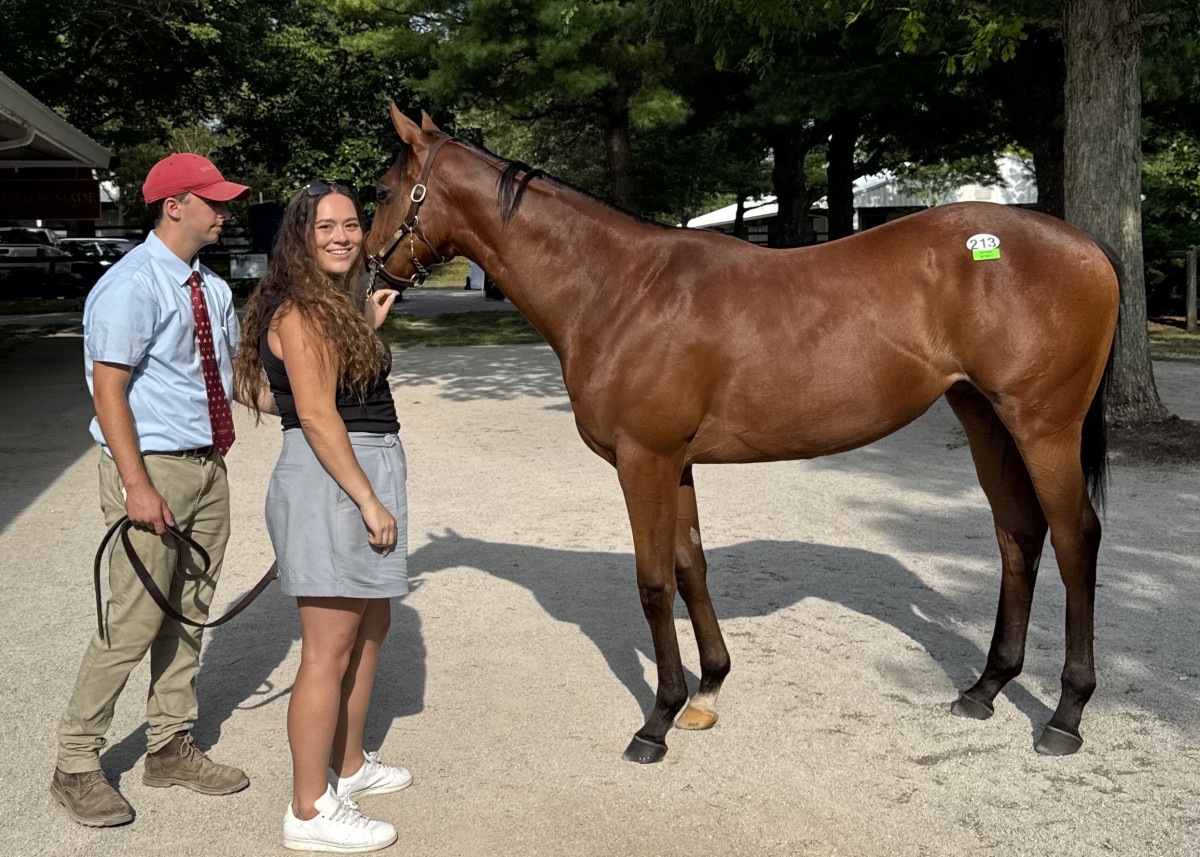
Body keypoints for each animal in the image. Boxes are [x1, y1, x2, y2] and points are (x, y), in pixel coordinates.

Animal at [366, 105, 1120, 764]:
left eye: (381, 189)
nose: (368, 275)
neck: (619, 289)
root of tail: (1085, 246)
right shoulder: (675, 463)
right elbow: (690, 566)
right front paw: (707, 690)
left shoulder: (643, 460)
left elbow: (652, 583)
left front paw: (657, 720)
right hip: (984, 417)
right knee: (1018, 534)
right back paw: (986, 688)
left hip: (1043, 426)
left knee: (1075, 536)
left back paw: (1065, 715)